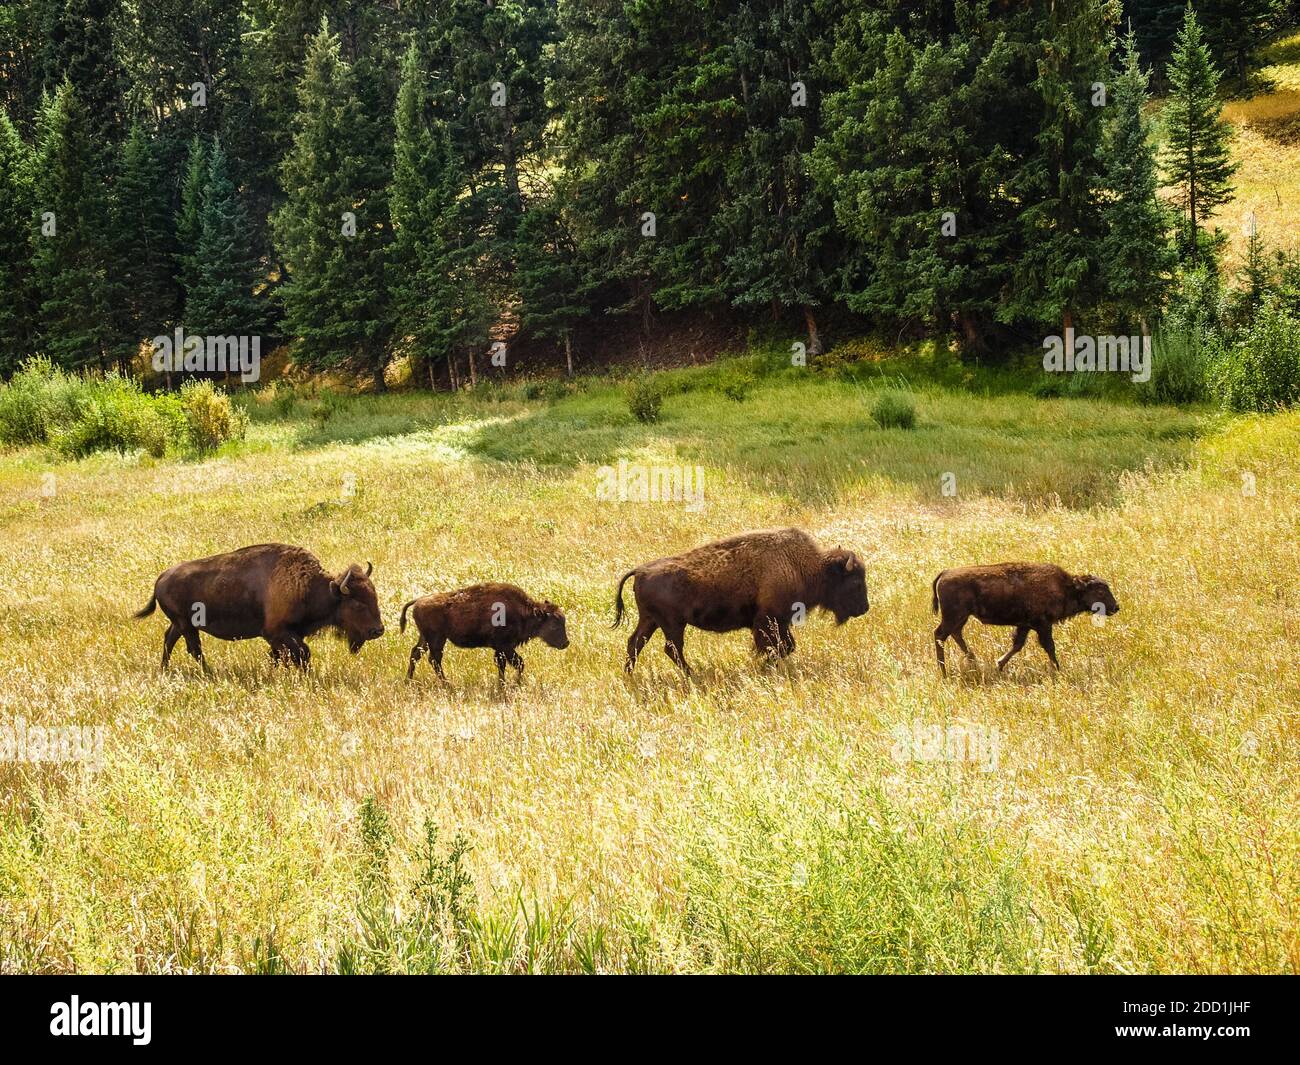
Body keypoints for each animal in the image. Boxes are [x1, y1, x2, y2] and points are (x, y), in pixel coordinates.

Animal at [134, 543, 384, 670]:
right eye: (358, 603)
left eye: (374, 597)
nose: (378, 630)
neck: (307, 585)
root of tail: (162, 577)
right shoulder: (276, 632)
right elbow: (302, 653)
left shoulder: (287, 635)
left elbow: (280, 656)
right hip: (186, 625)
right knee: (193, 648)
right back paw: (209, 673)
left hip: (180, 624)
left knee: (170, 639)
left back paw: (165, 669)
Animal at [399, 582, 569, 683]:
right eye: (554, 625)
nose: (566, 643)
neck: (524, 612)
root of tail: (418, 601)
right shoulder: (505, 647)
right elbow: (518, 663)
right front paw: (511, 684)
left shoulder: (501, 649)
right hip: (437, 639)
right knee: (434, 659)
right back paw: (447, 685)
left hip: (426, 638)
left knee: (416, 654)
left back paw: (409, 680)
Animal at [613, 527, 868, 674]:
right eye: (856, 582)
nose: (864, 608)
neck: (803, 566)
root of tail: (640, 571)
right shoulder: (769, 620)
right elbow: (779, 646)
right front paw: (764, 665)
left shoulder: (780, 622)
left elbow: (786, 646)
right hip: (671, 624)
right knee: (671, 648)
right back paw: (692, 674)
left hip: (651, 621)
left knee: (635, 643)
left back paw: (629, 673)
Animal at [931, 562, 1119, 675]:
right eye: (1100, 591)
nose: (1116, 607)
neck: (1067, 587)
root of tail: (945, 573)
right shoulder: (1043, 625)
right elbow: (1050, 647)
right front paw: (1058, 669)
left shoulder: (1025, 626)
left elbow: (1017, 645)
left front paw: (999, 664)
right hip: (953, 616)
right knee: (940, 635)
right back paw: (943, 671)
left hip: (961, 617)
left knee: (955, 634)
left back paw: (973, 661)